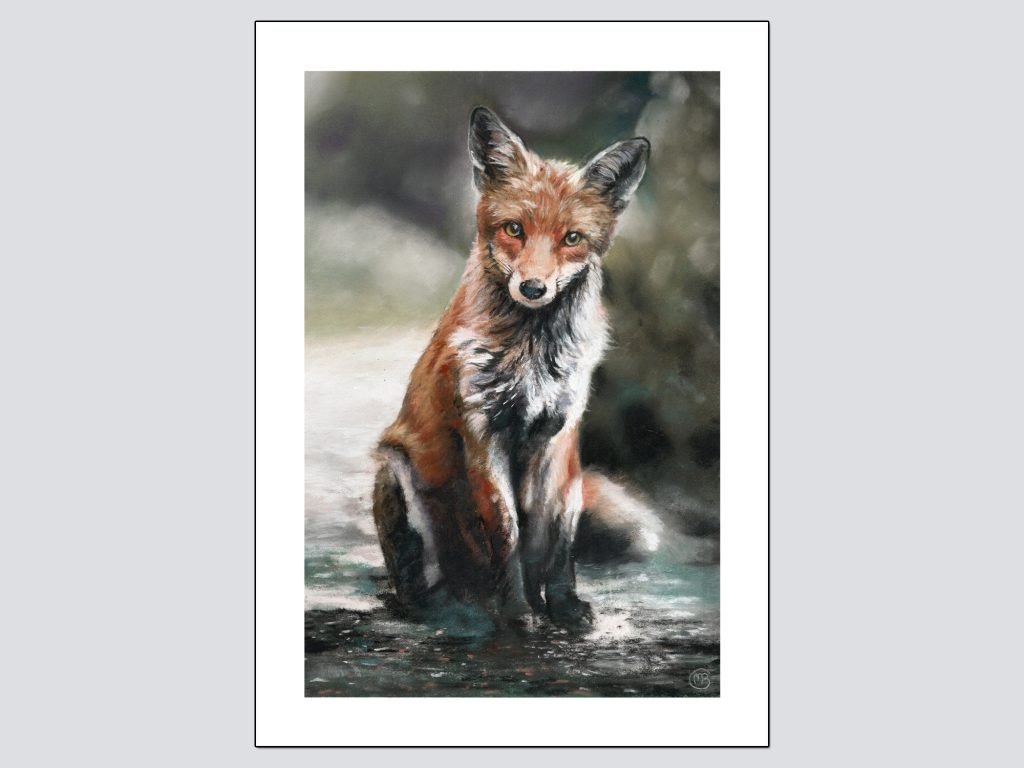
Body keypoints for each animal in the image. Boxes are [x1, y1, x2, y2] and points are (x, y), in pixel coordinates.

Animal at [373, 107, 653, 629]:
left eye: (572, 238)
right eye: (514, 229)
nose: (533, 288)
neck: (532, 354)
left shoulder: (559, 435)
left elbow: (554, 535)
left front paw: (561, 605)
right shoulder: (485, 435)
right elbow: (508, 530)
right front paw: (519, 611)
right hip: (395, 469)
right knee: (420, 580)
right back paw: (442, 603)